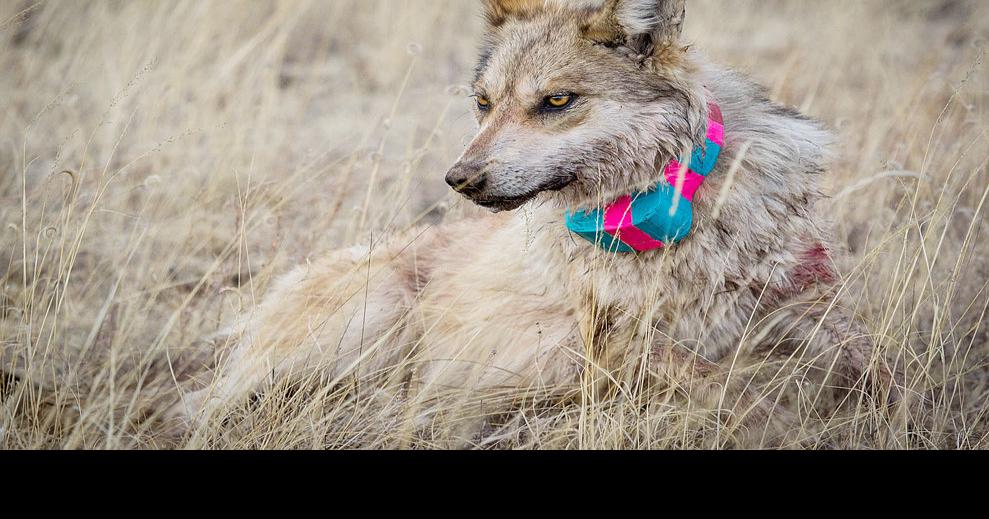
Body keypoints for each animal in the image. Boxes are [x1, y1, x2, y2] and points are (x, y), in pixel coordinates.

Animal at [168, 0, 899, 444]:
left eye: (555, 101)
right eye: (483, 102)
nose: (459, 179)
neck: (671, 211)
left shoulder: (813, 313)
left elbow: (863, 371)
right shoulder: (615, 354)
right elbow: (729, 390)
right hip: (372, 310)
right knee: (211, 410)